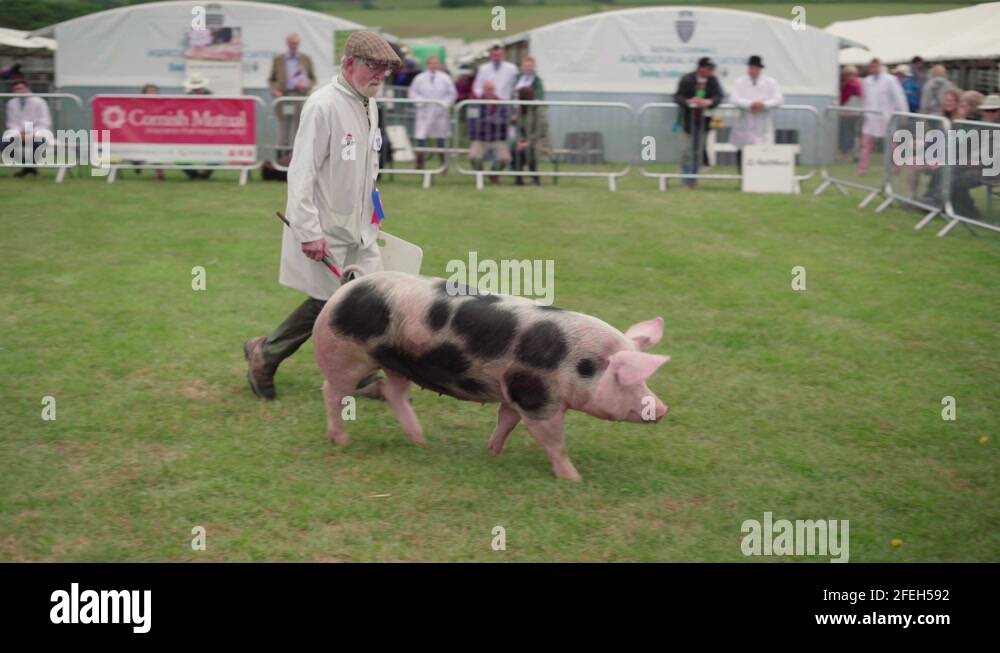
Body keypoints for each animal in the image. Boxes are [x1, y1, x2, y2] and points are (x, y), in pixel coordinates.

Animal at [312, 270, 670, 480]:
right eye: (630, 378)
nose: (663, 408)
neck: (576, 361)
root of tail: (349, 285)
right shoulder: (536, 396)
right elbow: (553, 440)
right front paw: (574, 479)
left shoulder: (512, 390)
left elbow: (505, 420)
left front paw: (493, 453)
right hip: (344, 354)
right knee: (332, 392)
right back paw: (341, 441)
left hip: (398, 363)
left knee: (393, 393)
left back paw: (422, 443)